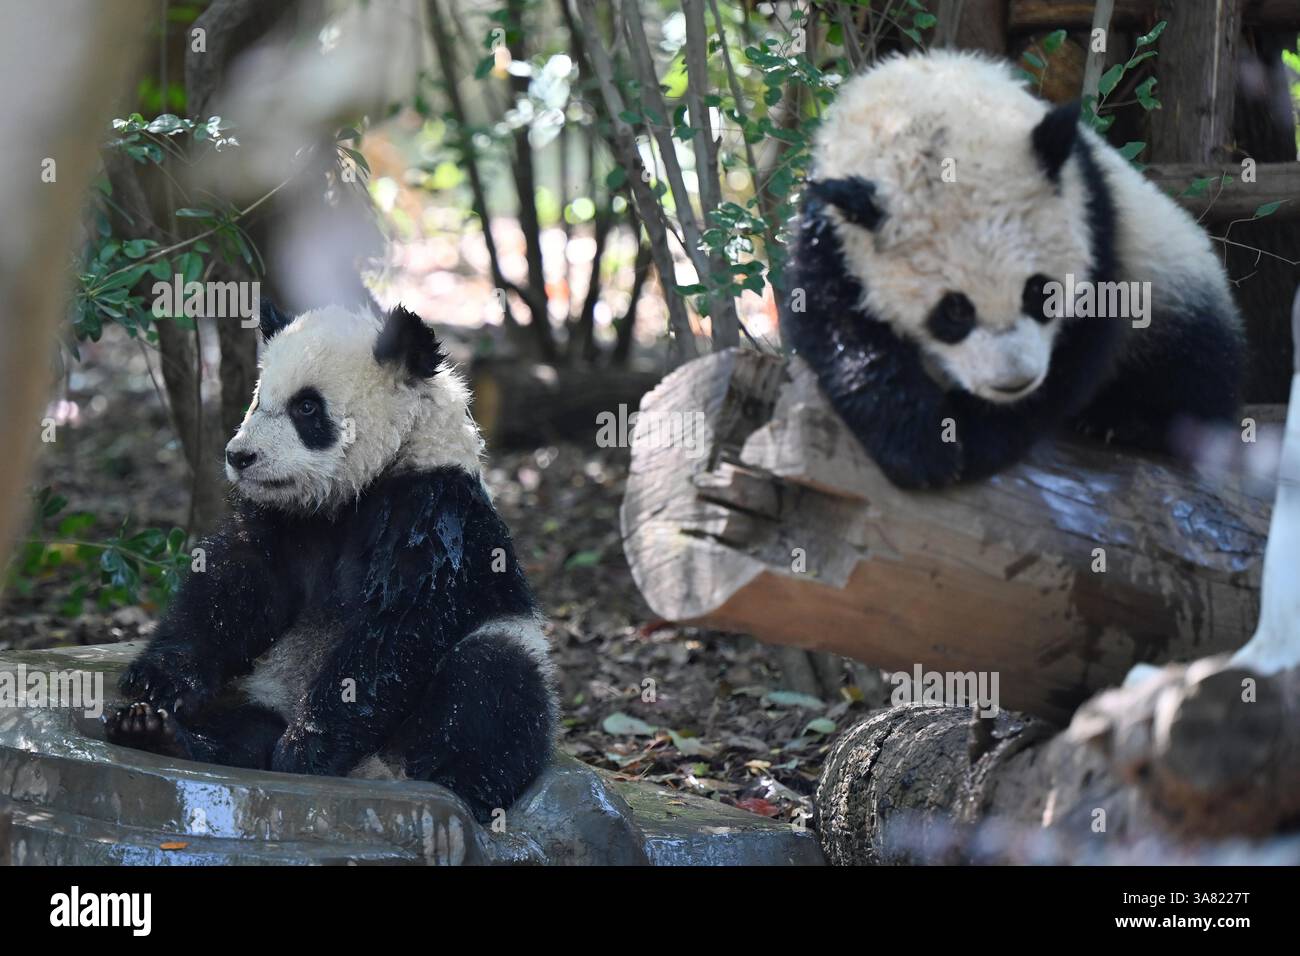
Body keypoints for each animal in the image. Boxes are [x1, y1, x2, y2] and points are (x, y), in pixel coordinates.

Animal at [104, 301, 556, 822]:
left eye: (307, 408)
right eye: (258, 400)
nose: (240, 456)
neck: (354, 491)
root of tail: (374, 769)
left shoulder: (435, 507)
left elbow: (399, 628)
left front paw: (307, 749)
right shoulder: (287, 521)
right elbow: (237, 586)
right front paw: (156, 682)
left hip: (507, 654)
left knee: (492, 684)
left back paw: (446, 789)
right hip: (268, 687)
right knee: (244, 729)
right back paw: (161, 735)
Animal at [781, 51, 1245, 489]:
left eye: (1040, 292)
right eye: (954, 311)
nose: (1014, 382)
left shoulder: (1095, 218)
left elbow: (1081, 344)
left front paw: (974, 436)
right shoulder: (831, 227)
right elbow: (836, 321)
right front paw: (919, 447)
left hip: (1173, 273)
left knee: (1198, 365)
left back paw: (1126, 420)